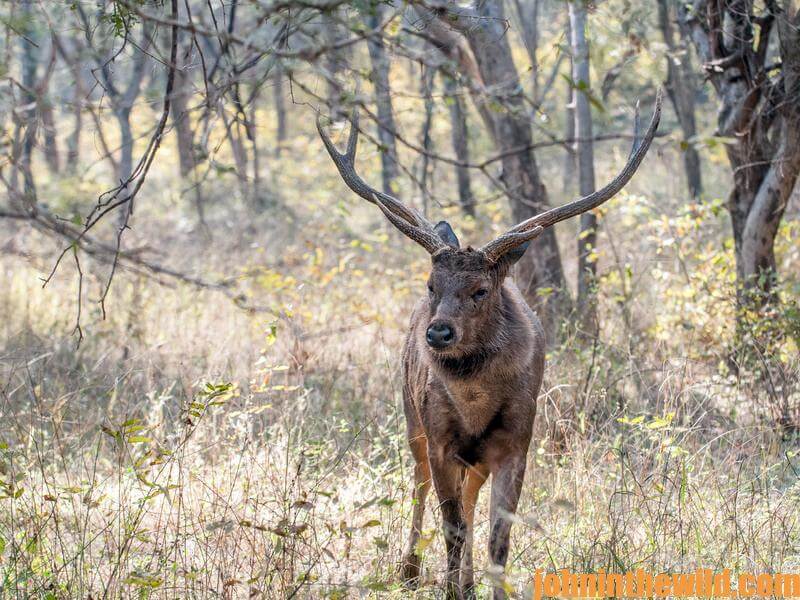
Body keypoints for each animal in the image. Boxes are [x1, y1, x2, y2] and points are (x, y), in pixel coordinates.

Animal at [317, 90, 661, 600]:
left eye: (480, 290)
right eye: (431, 285)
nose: (438, 333)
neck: (475, 403)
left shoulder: (517, 441)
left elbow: (498, 535)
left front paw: (483, 588)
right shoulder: (440, 438)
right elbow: (452, 527)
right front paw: (448, 589)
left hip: (474, 454)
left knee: (471, 498)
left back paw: (465, 580)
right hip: (411, 417)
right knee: (420, 486)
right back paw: (410, 569)